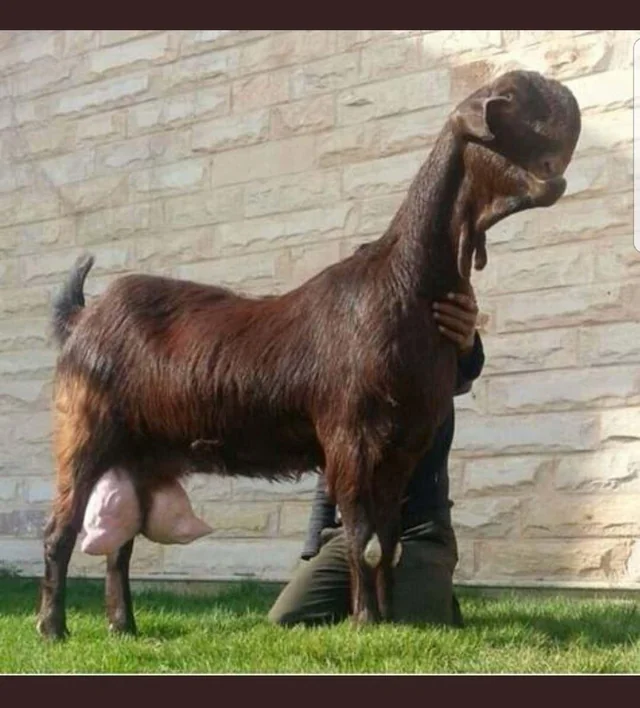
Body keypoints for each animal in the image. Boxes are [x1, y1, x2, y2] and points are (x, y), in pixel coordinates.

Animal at [36, 70, 581, 639]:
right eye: (507, 111)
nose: (555, 177)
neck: (405, 284)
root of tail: (82, 318)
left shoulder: (403, 445)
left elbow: (388, 541)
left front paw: (388, 619)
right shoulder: (351, 436)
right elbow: (361, 537)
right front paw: (364, 622)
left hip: (140, 454)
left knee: (119, 545)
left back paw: (124, 627)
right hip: (84, 432)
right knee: (60, 530)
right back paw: (53, 629)